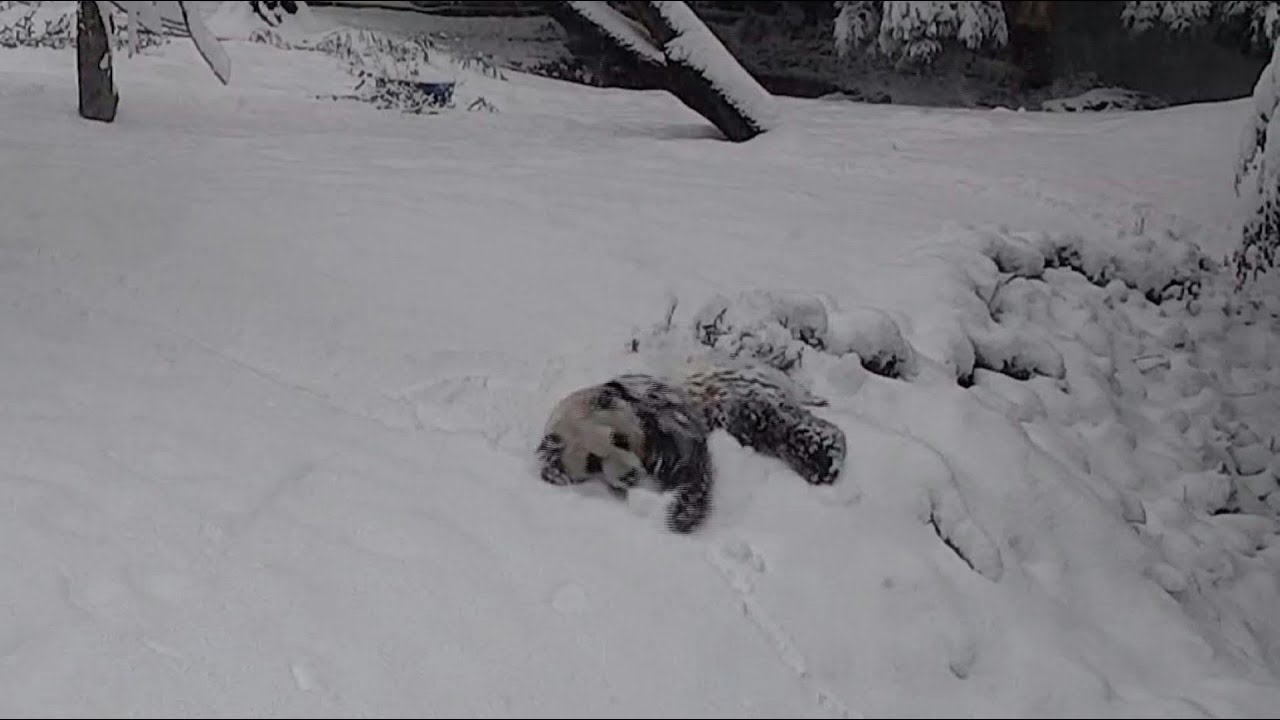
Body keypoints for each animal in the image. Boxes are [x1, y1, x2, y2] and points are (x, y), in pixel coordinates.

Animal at [536, 362, 846, 533]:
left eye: (619, 439)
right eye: (592, 462)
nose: (629, 476)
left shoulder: (666, 413)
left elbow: (691, 465)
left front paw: (680, 515)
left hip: (738, 392)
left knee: (774, 419)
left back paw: (824, 455)